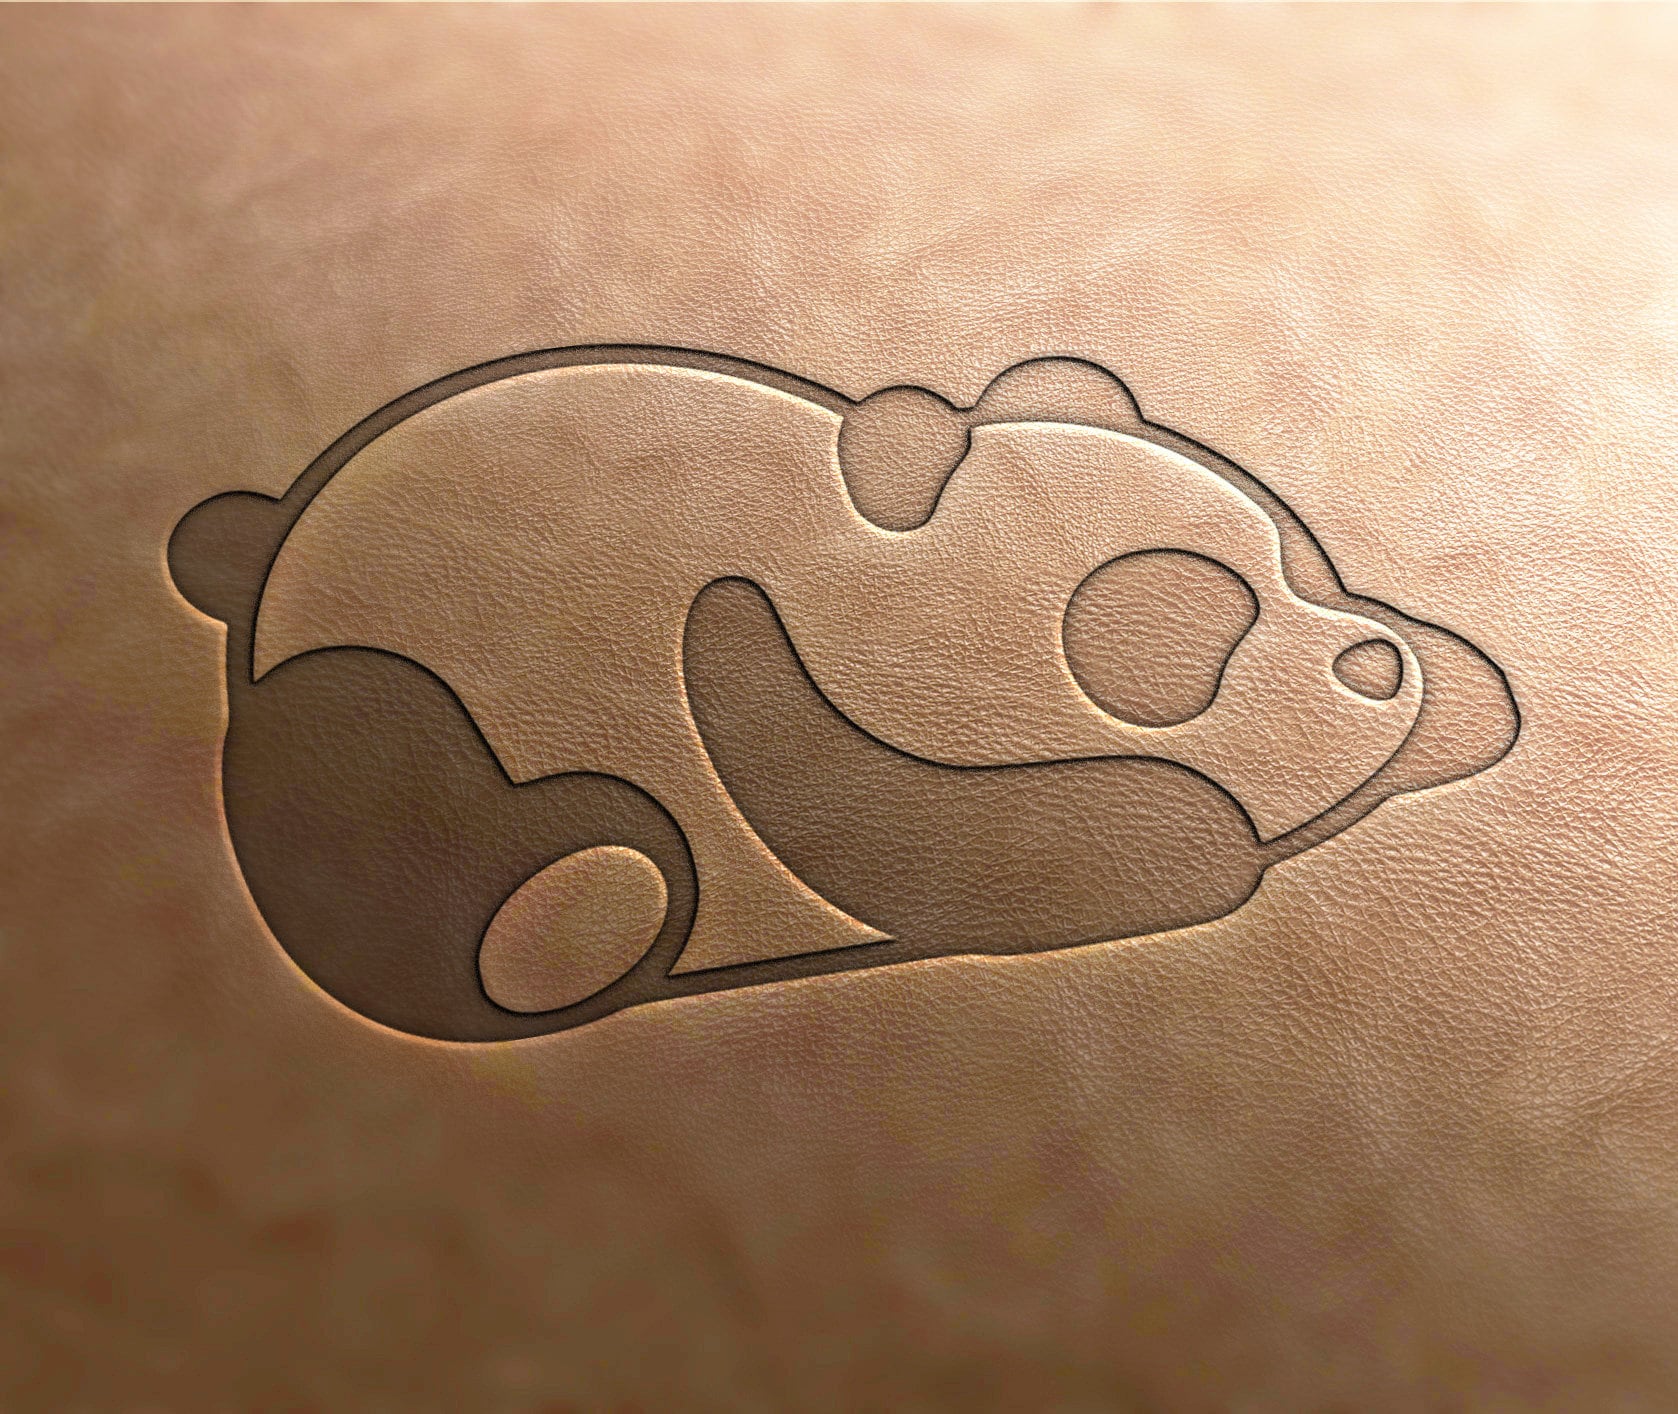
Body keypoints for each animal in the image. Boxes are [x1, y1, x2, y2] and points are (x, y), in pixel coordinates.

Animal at [168, 348, 1518, 1041]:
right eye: (1175, 622)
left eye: (1312, 571)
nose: (1372, 661)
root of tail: (254, 571)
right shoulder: (776, 695)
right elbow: (953, 830)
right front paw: (1181, 835)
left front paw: (1458, 700)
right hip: (364, 713)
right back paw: (573, 894)